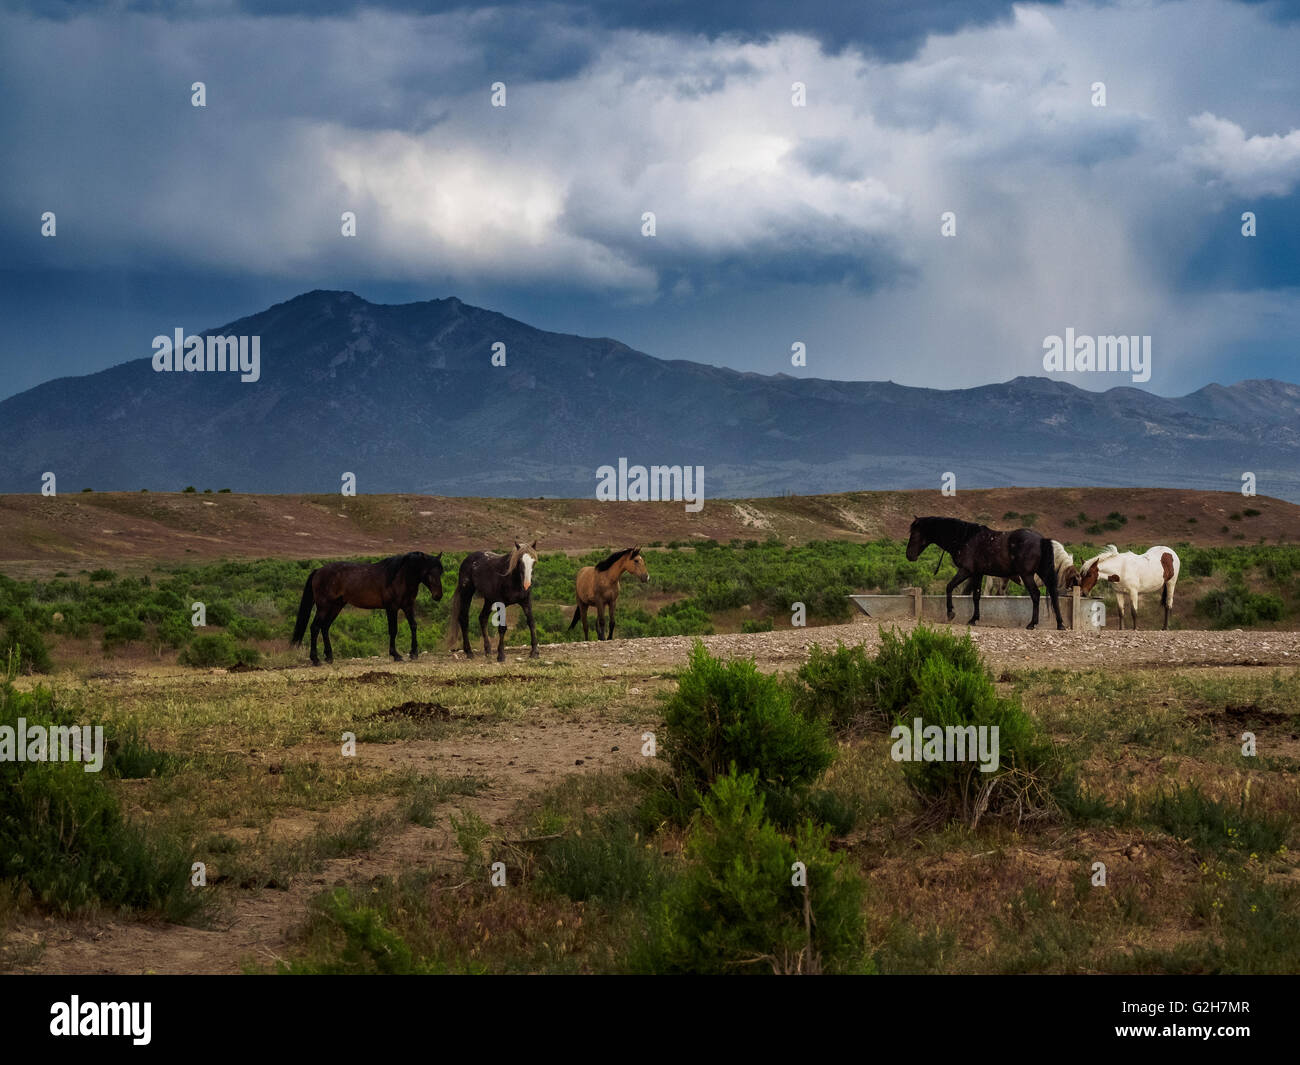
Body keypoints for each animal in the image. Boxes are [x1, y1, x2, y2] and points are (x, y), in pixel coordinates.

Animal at [291, 551, 444, 666]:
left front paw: (414, 653)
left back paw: (329, 657)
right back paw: (315, 659)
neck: (399, 577)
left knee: (325, 627)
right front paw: (396, 655)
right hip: (324, 607)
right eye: (429, 573)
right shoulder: (392, 608)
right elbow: (393, 630)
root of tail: (318, 571)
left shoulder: (408, 606)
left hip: (336, 606)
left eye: (440, 572)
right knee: (315, 627)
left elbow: (413, 625)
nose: (438, 596)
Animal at [906, 516, 1064, 630]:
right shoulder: (977, 573)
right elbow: (976, 595)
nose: (909, 555)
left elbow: (949, 587)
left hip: (1027, 575)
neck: (964, 538)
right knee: (1053, 594)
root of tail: (1041, 540)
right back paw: (1060, 624)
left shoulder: (966, 571)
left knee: (1036, 595)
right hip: (1041, 573)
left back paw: (1032, 624)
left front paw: (951, 612)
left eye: (914, 534)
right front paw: (973, 619)